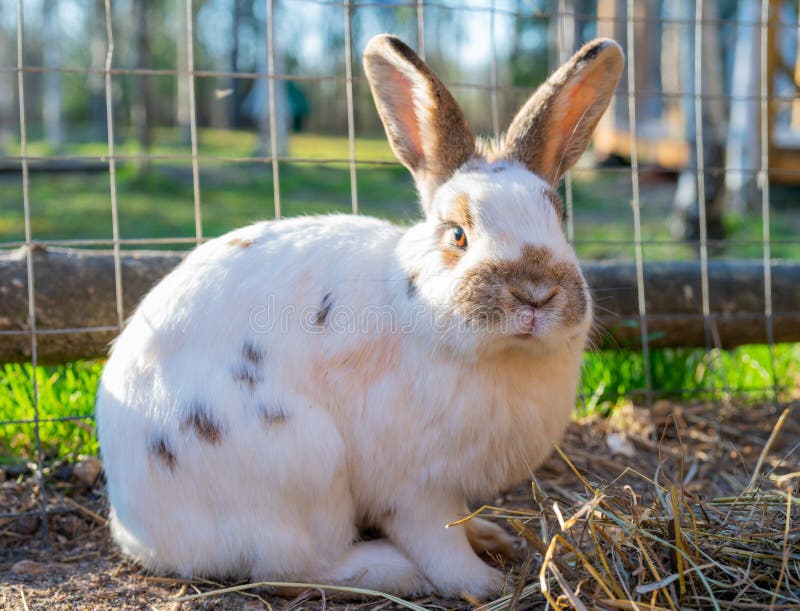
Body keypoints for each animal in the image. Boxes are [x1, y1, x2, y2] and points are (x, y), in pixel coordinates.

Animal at [94, 34, 623, 599]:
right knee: (296, 566)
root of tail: (136, 532)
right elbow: (439, 541)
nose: (536, 294)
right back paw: (396, 570)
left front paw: (489, 539)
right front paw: (482, 582)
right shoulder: (416, 487)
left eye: (560, 221)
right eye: (457, 234)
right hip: (302, 465)